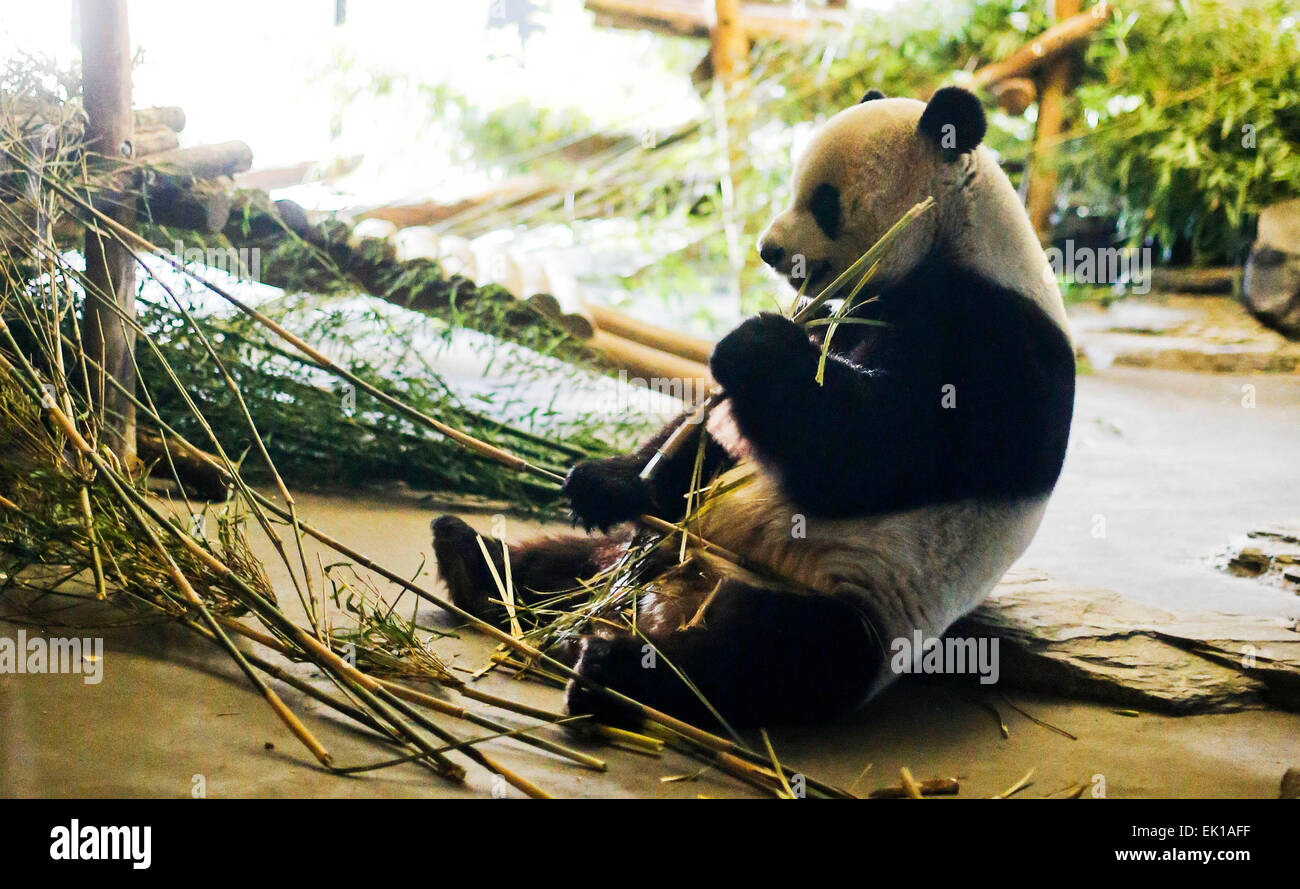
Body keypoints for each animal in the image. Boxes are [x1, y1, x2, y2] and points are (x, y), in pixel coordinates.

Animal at [432, 86, 1075, 728]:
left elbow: (871, 455)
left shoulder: (998, 342)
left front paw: (754, 345)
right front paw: (607, 481)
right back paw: (473, 559)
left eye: (824, 202)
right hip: (653, 545)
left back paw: (610, 671)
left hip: (851, 601)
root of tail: (662, 594)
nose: (769, 251)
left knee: (759, 657)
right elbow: (712, 438)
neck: (957, 237)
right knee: (567, 564)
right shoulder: (850, 313)